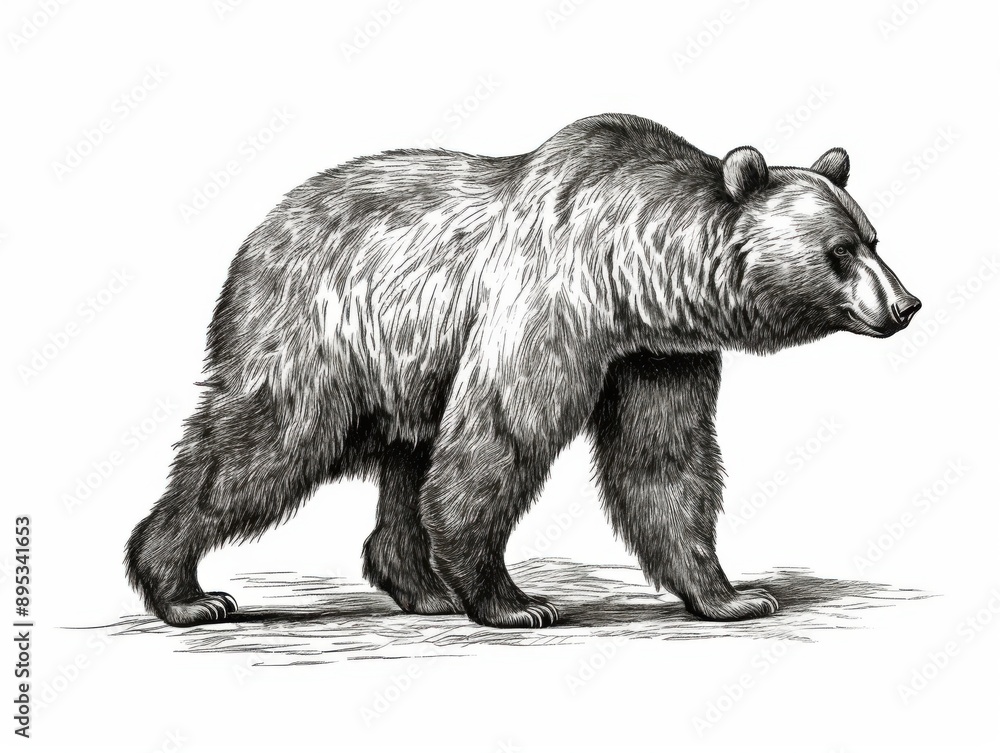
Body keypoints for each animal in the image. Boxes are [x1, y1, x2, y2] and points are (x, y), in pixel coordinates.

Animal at [125, 113, 920, 629]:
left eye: (873, 237)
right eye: (840, 251)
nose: (906, 303)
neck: (636, 275)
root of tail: (257, 236)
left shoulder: (657, 355)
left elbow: (664, 461)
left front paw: (734, 593)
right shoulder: (553, 304)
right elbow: (501, 434)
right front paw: (517, 601)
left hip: (404, 369)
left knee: (405, 462)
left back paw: (421, 587)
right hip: (319, 336)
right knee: (263, 444)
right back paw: (184, 591)